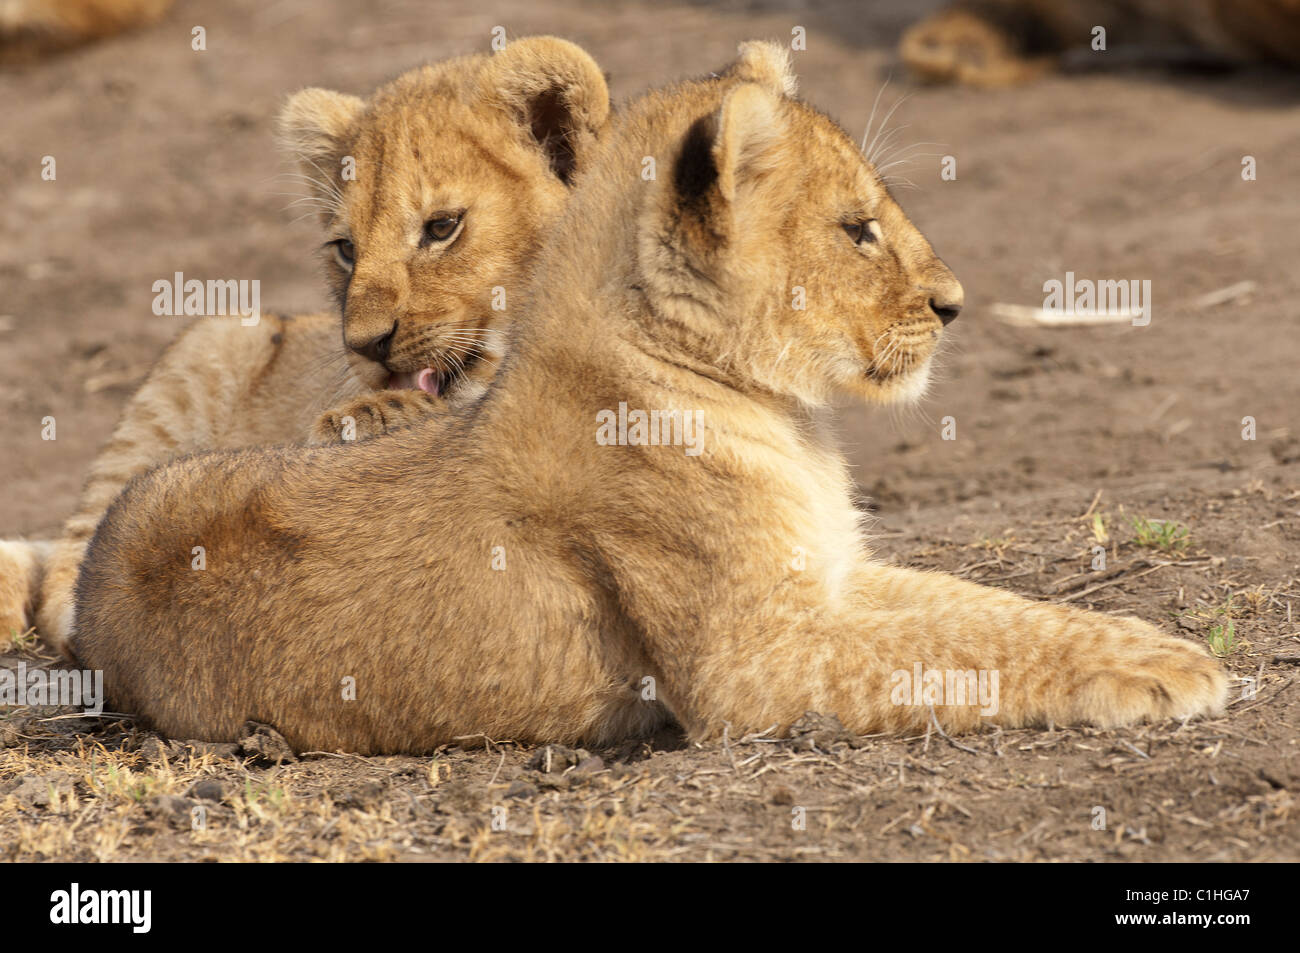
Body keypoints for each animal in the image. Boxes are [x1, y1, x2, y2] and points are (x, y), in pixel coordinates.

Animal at [0, 36, 610, 654]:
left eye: (442, 227)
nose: (366, 345)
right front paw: (366, 419)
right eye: (346, 249)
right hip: (204, 356)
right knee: (73, 577)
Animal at [71, 41, 1227, 755]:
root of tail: (91, 591)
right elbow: (957, 653)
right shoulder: (750, 666)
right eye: (857, 229)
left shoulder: (831, 578)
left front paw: (1149, 637)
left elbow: (986, 613)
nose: (954, 304)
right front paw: (1170, 670)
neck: (783, 414)